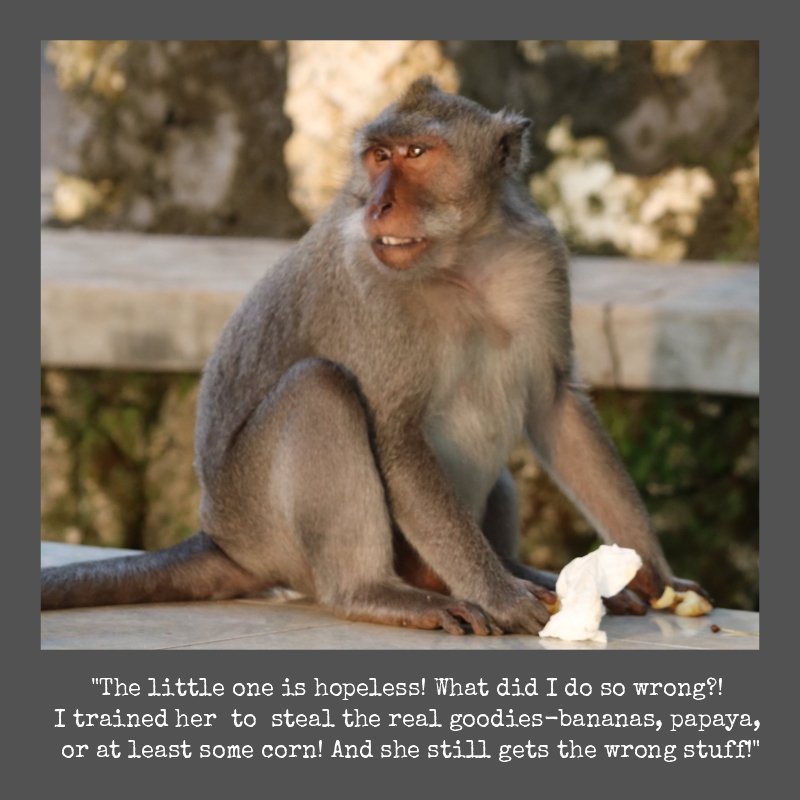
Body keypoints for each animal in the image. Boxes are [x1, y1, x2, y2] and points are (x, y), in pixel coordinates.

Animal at [42, 77, 709, 635]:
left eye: (416, 153)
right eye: (378, 157)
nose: (378, 205)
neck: (460, 260)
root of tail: (222, 537)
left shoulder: (539, 258)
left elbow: (554, 404)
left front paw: (657, 574)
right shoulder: (371, 284)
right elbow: (394, 432)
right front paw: (501, 597)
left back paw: (525, 570)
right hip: (271, 528)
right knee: (318, 388)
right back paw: (379, 592)